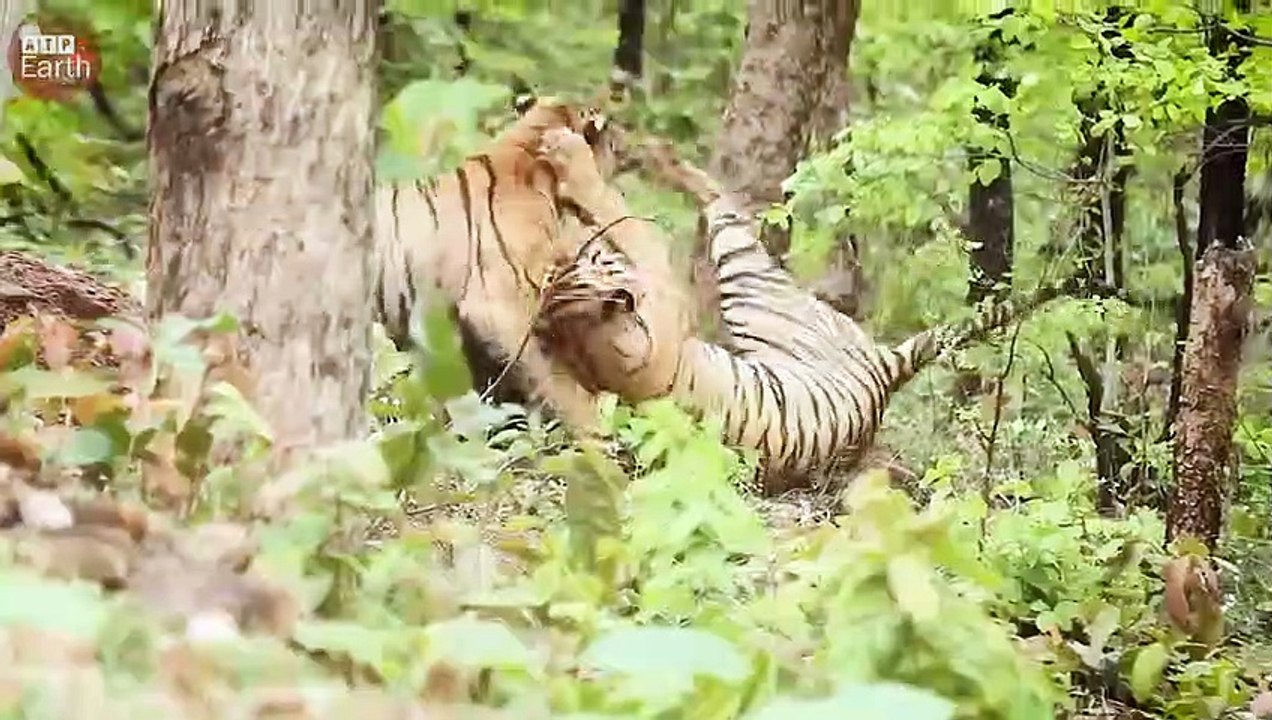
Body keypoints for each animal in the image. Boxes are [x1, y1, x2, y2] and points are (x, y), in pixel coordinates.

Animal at [529, 128, 1072, 493]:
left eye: (585, 264)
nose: (563, 263)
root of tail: (885, 371)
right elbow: (617, 211)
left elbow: (612, 213)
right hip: (753, 281)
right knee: (725, 207)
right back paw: (651, 152)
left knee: (722, 201)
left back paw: (647, 151)